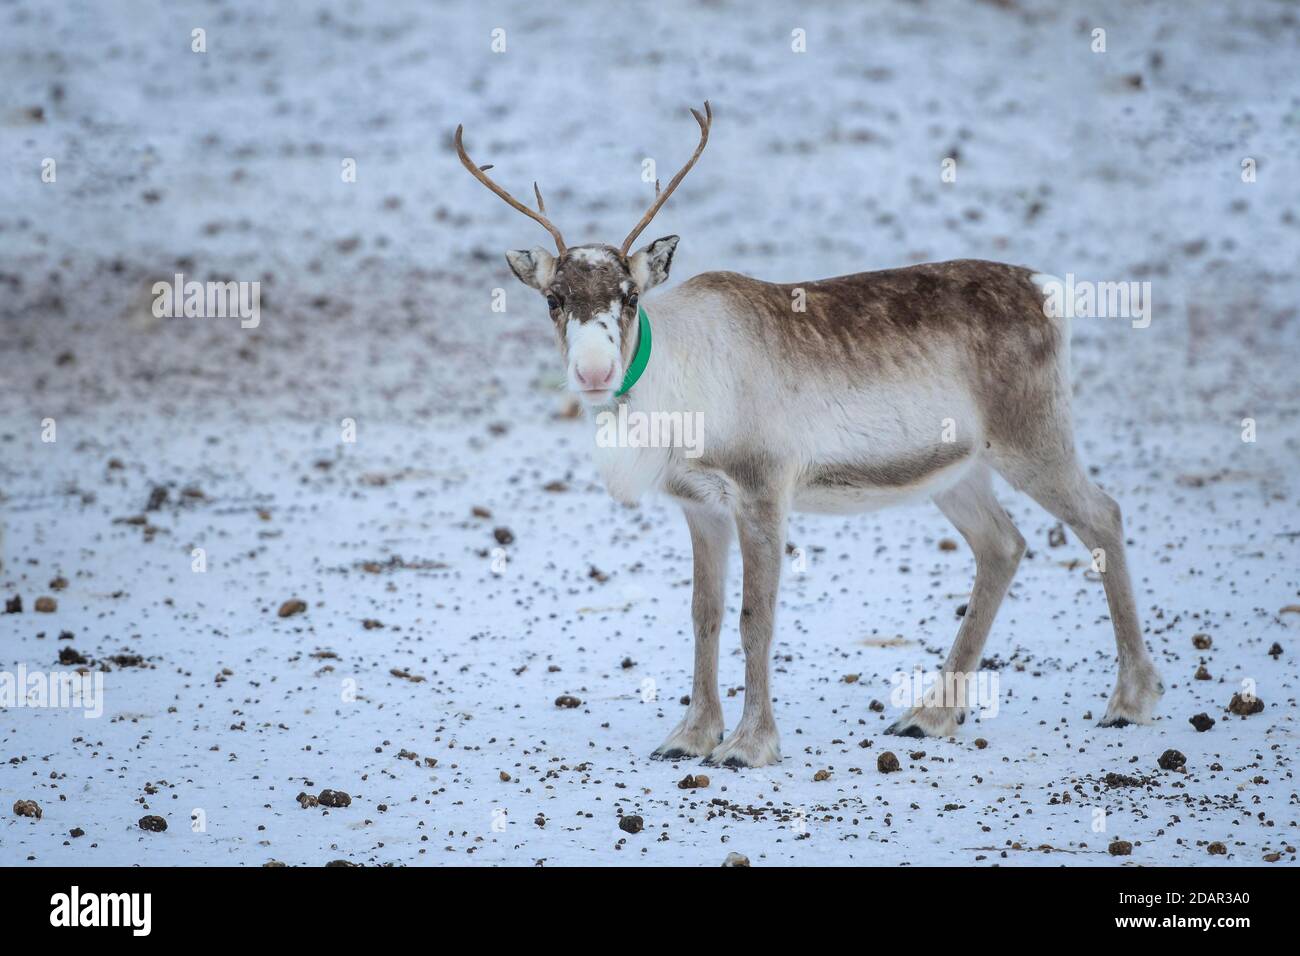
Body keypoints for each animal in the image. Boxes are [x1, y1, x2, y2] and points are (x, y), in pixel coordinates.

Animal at [454, 101, 1164, 769]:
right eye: (553, 298)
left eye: (629, 295)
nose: (595, 372)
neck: (677, 381)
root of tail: (1047, 289)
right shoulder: (699, 505)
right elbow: (704, 615)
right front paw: (689, 736)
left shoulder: (763, 491)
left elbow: (755, 619)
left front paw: (748, 745)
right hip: (957, 470)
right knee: (1003, 545)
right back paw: (929, 715)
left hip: (1033, 438)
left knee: (1102, 515)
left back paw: (1129, 701)